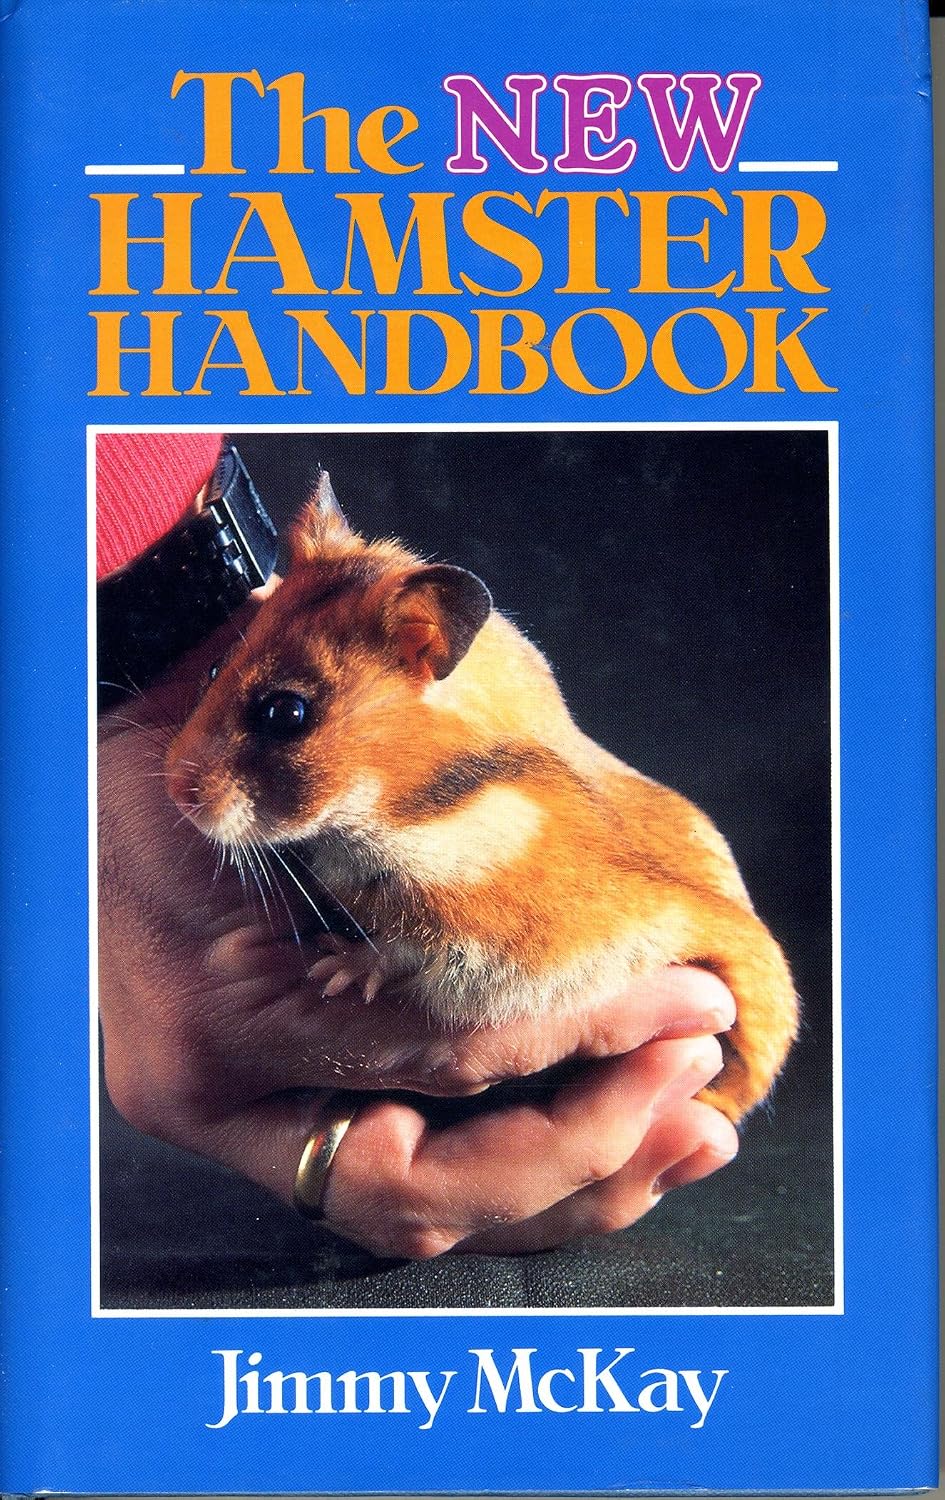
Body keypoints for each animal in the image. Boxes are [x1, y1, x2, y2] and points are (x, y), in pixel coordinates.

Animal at [165, 472, 798, 1122]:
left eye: (286, 713)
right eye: (213, 669)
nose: (174, 793)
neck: (413, 808)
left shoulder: (491, 939)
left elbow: (401, 952)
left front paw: (332, 970)